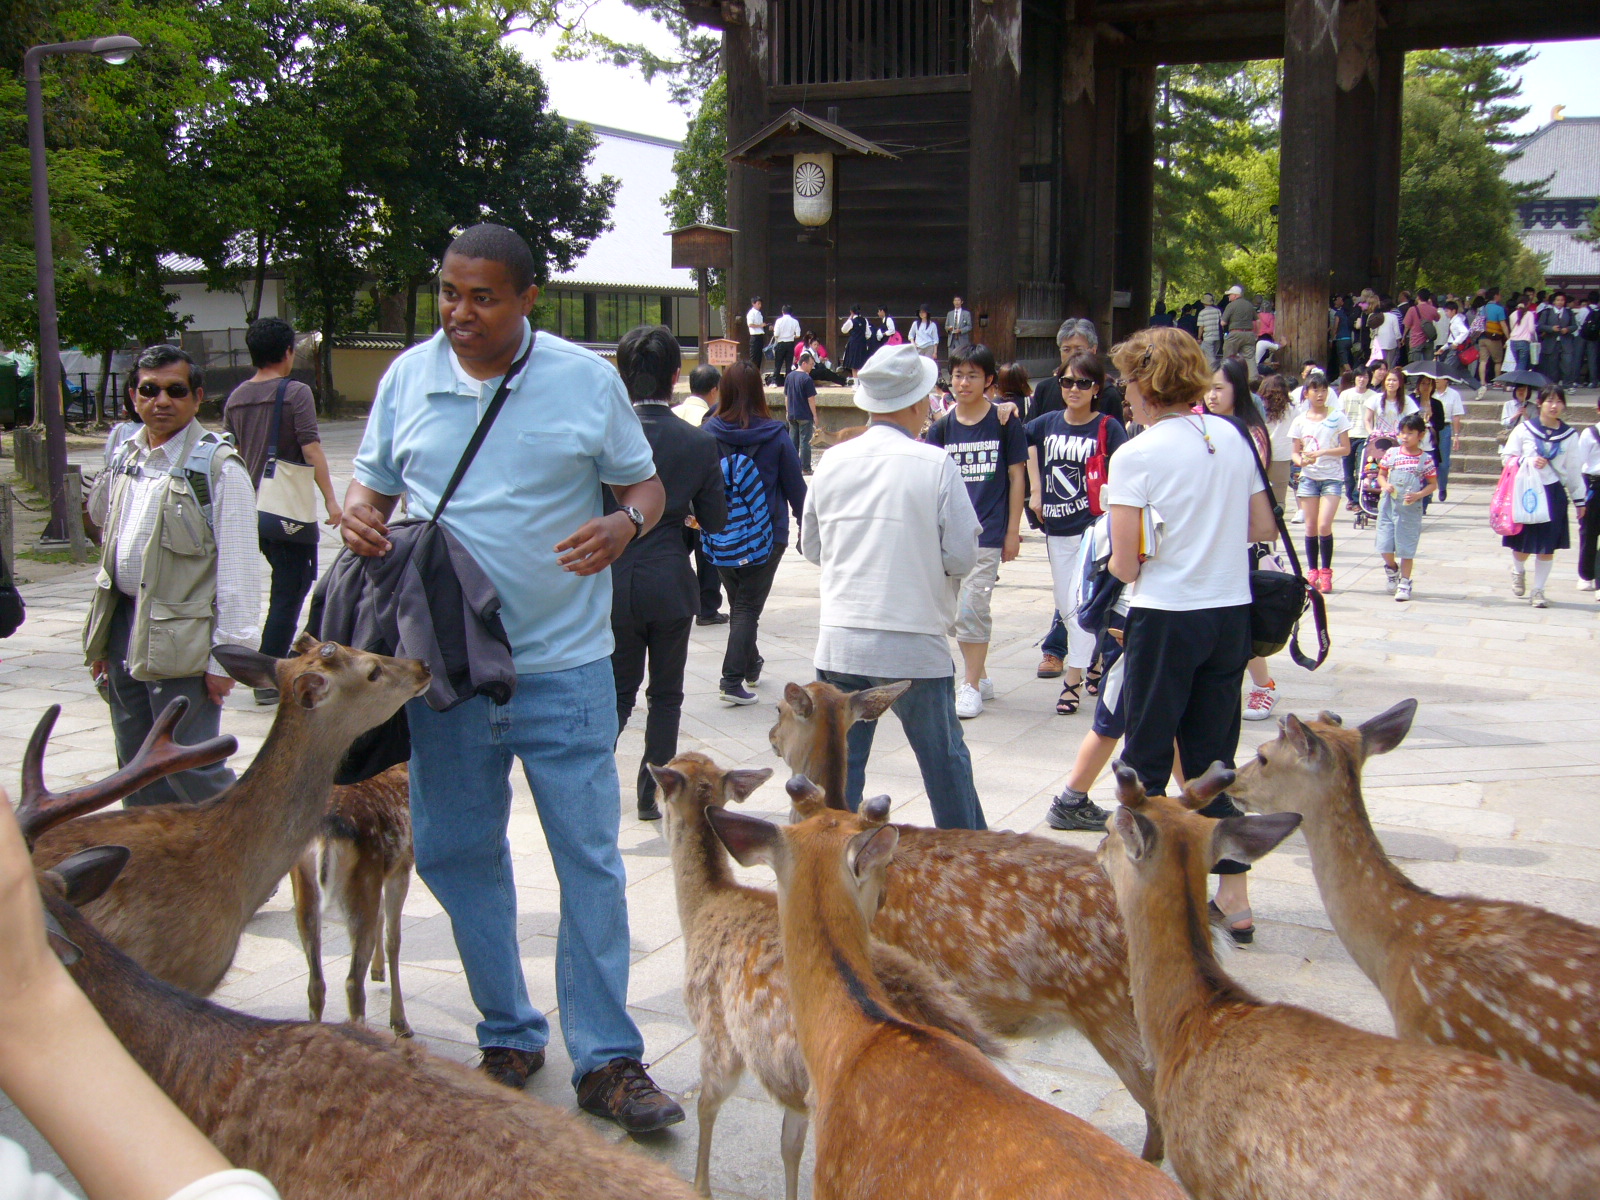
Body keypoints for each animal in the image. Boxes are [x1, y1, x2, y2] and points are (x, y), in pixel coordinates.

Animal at [289, 763, 414, 1037]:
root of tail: (327, 832)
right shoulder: (402, 865)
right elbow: (394, 939)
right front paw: (399, 1022)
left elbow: (382, 917)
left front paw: (378, 971)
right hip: (363, 879)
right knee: (353, 984)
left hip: (305, 890)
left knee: (315, 984)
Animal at [650, 753, 1002, 1200]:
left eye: (662, 783)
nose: (652, 807)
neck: (702, 909)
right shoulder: (799, 1088)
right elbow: (790, 1145)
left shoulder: (716, 1031)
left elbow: (706, 1107)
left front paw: (699, 1187)